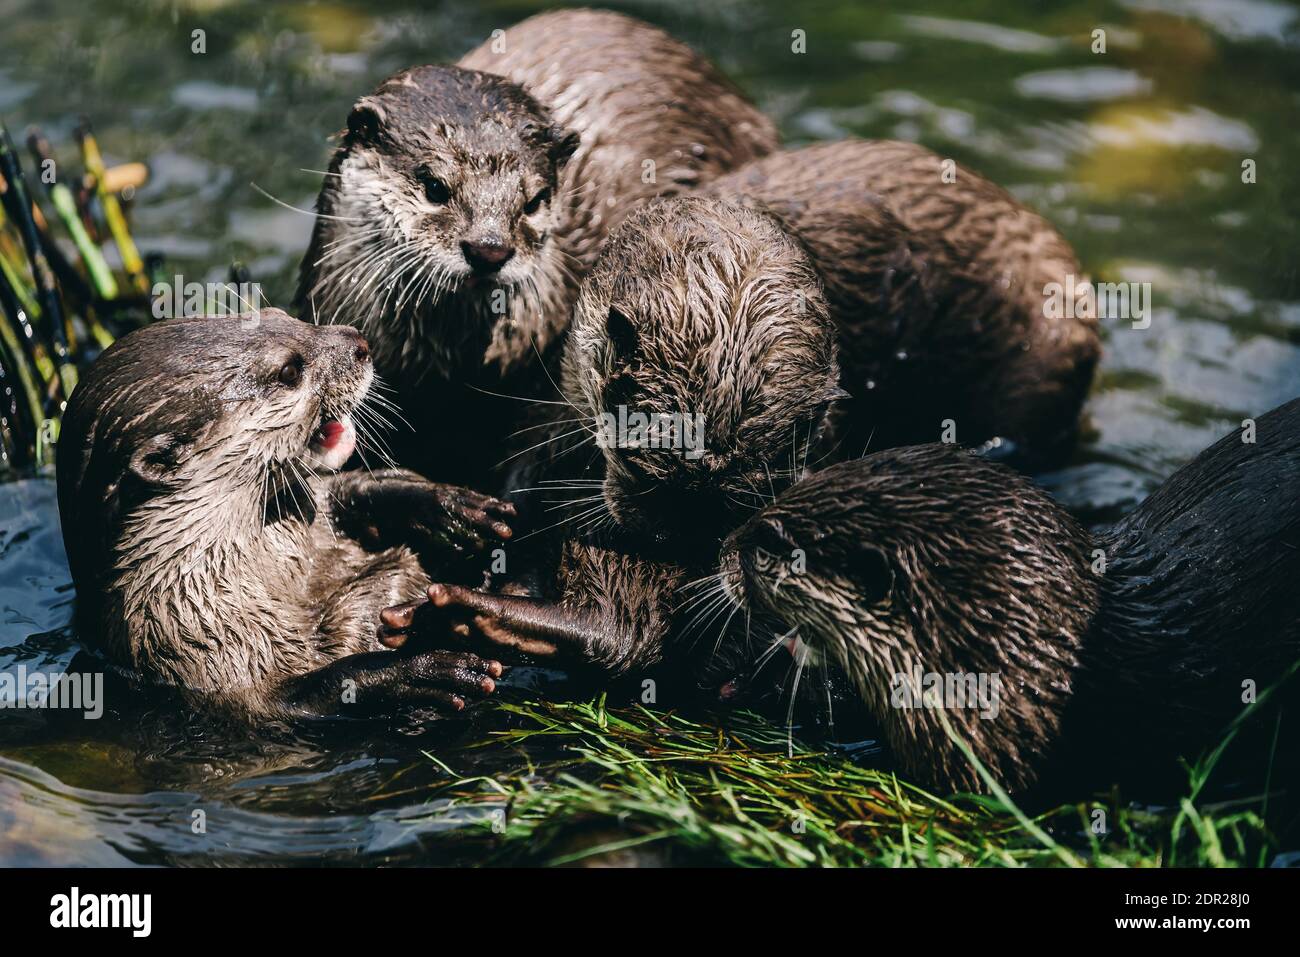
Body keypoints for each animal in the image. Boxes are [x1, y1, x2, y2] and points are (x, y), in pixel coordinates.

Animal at [56, 310, 516, 719]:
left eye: (277, 313)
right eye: (290, 371)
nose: (361, 343)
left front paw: (448, 506)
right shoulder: (181, 638)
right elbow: (285, 696)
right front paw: (417, 672)